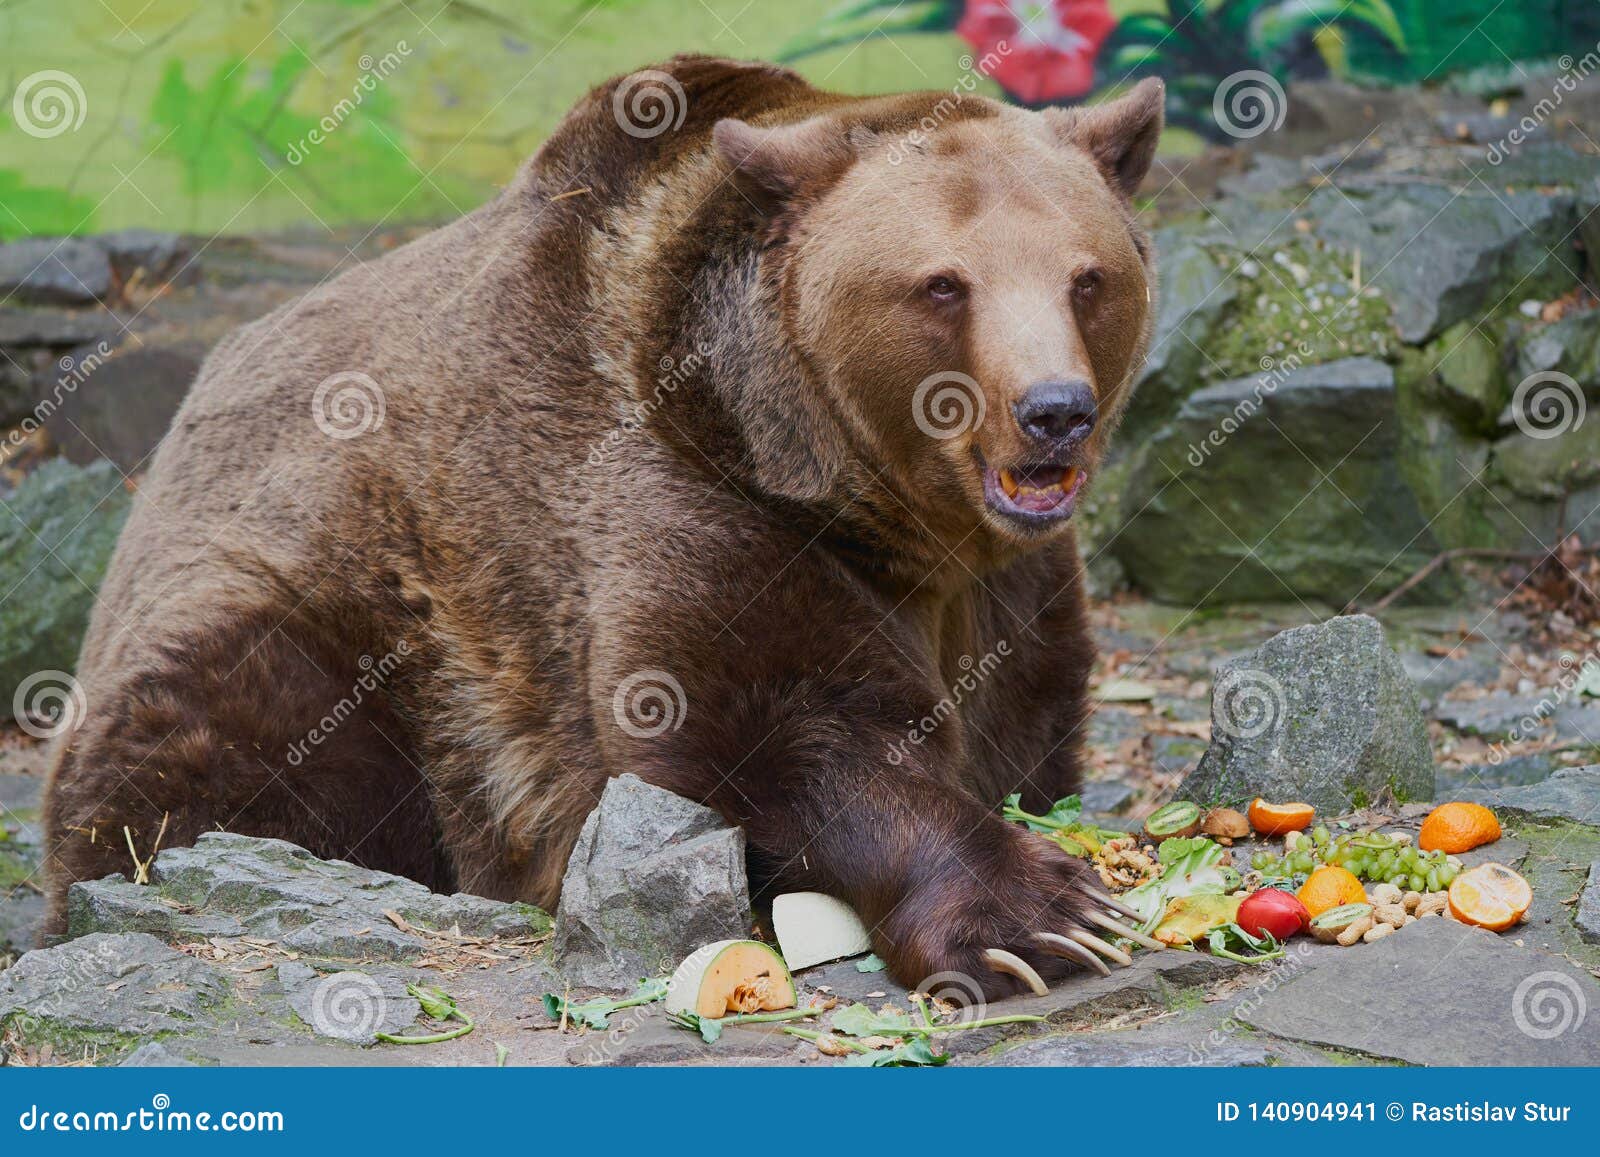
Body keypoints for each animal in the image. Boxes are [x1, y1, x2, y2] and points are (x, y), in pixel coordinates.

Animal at [41, 55, 1163, 996]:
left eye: (1087, 277)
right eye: (941, 284)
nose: (1053, 409)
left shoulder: (1009, 586)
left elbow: (1022, 720)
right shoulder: (679, 498)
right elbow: (752, 728)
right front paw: (1041, 916)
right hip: (314, 612)